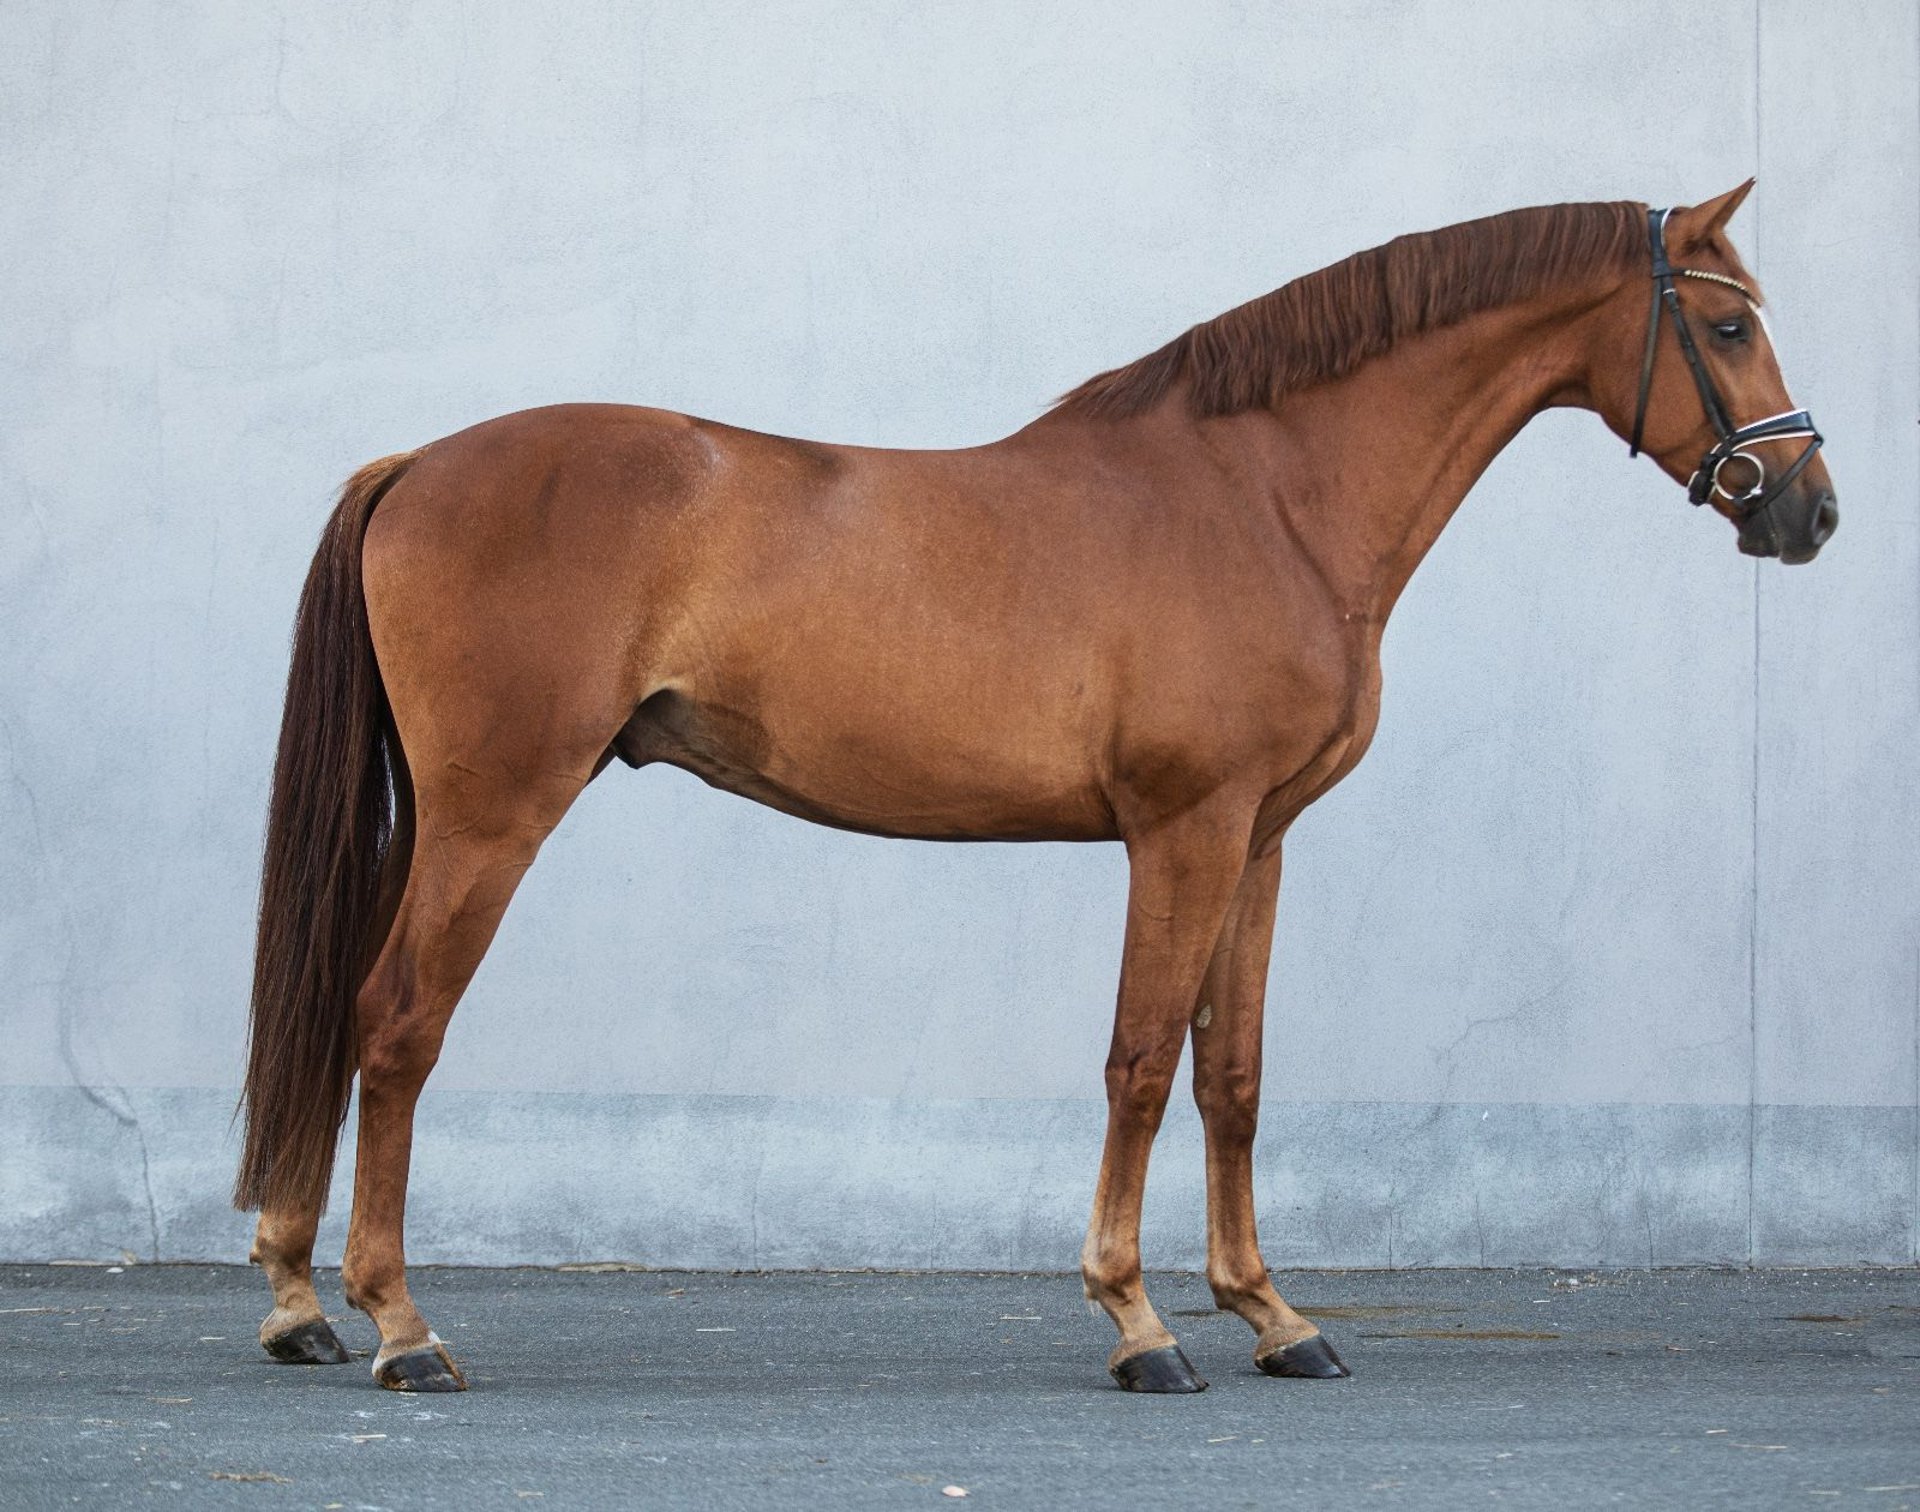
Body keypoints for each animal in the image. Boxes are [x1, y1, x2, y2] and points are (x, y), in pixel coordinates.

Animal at [234, 181, 1835, 1394]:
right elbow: (1140, 1062)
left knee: (338, 1008)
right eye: (1728, 323)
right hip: (493, 817)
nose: (1810, 511)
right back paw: (402, 1328)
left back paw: (300, 1303)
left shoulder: (1259, 841)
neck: (1266, 497)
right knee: (396, 1024)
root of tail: (418, 465)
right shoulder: (1183, 833)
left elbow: (1234, 1075)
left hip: (430, 820)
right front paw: (1138, 1324)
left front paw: (1275, 1318)